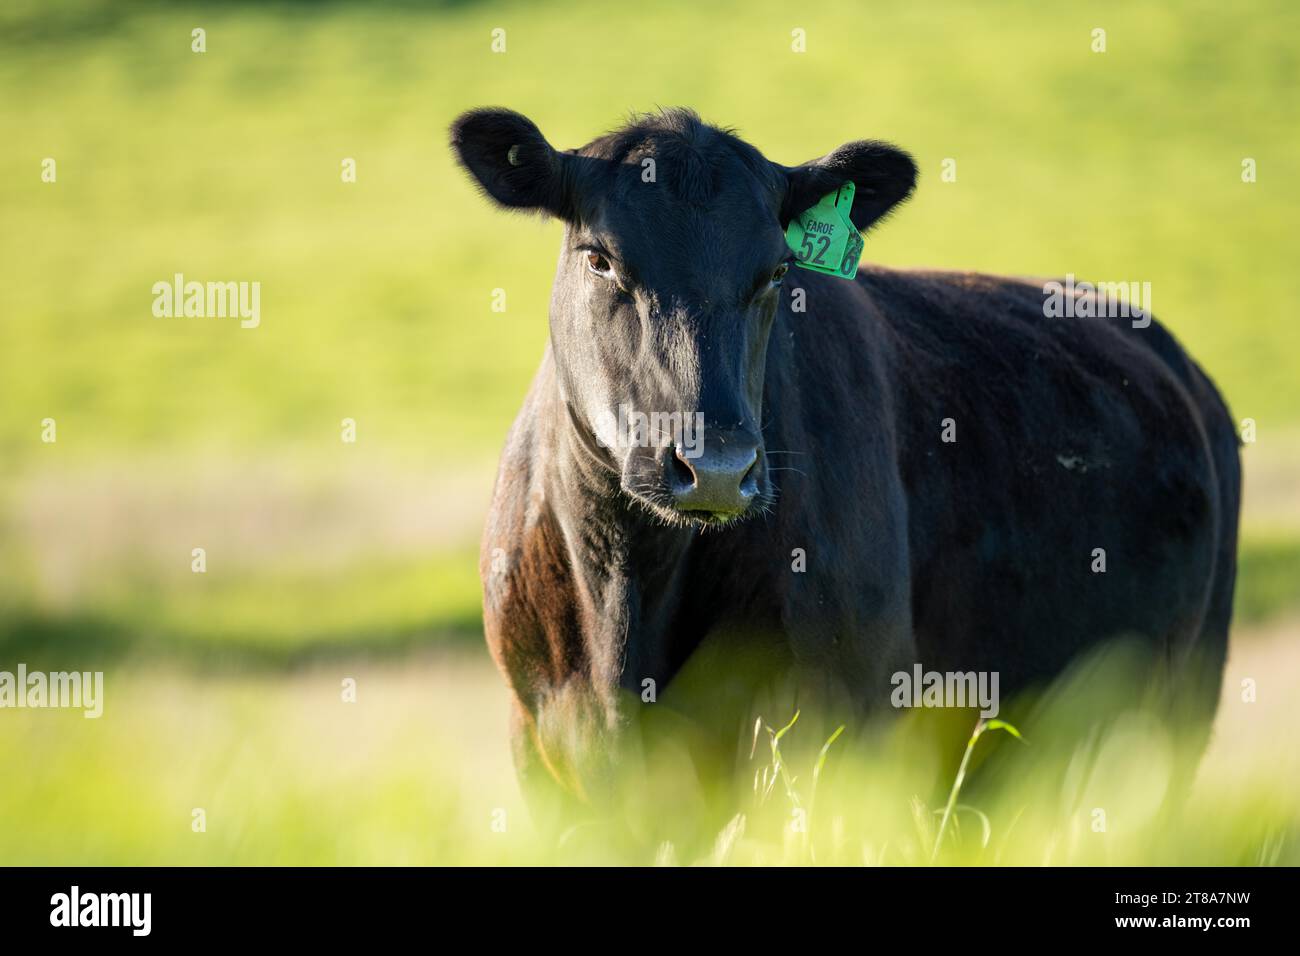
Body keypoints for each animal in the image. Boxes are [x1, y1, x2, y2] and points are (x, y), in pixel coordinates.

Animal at [450, 107, 1241, 830]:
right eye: (601, 259)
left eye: (777, 271)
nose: (717, 468)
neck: (625, 590)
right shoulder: (541, 748)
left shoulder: (843, 730)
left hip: (1178, 713)